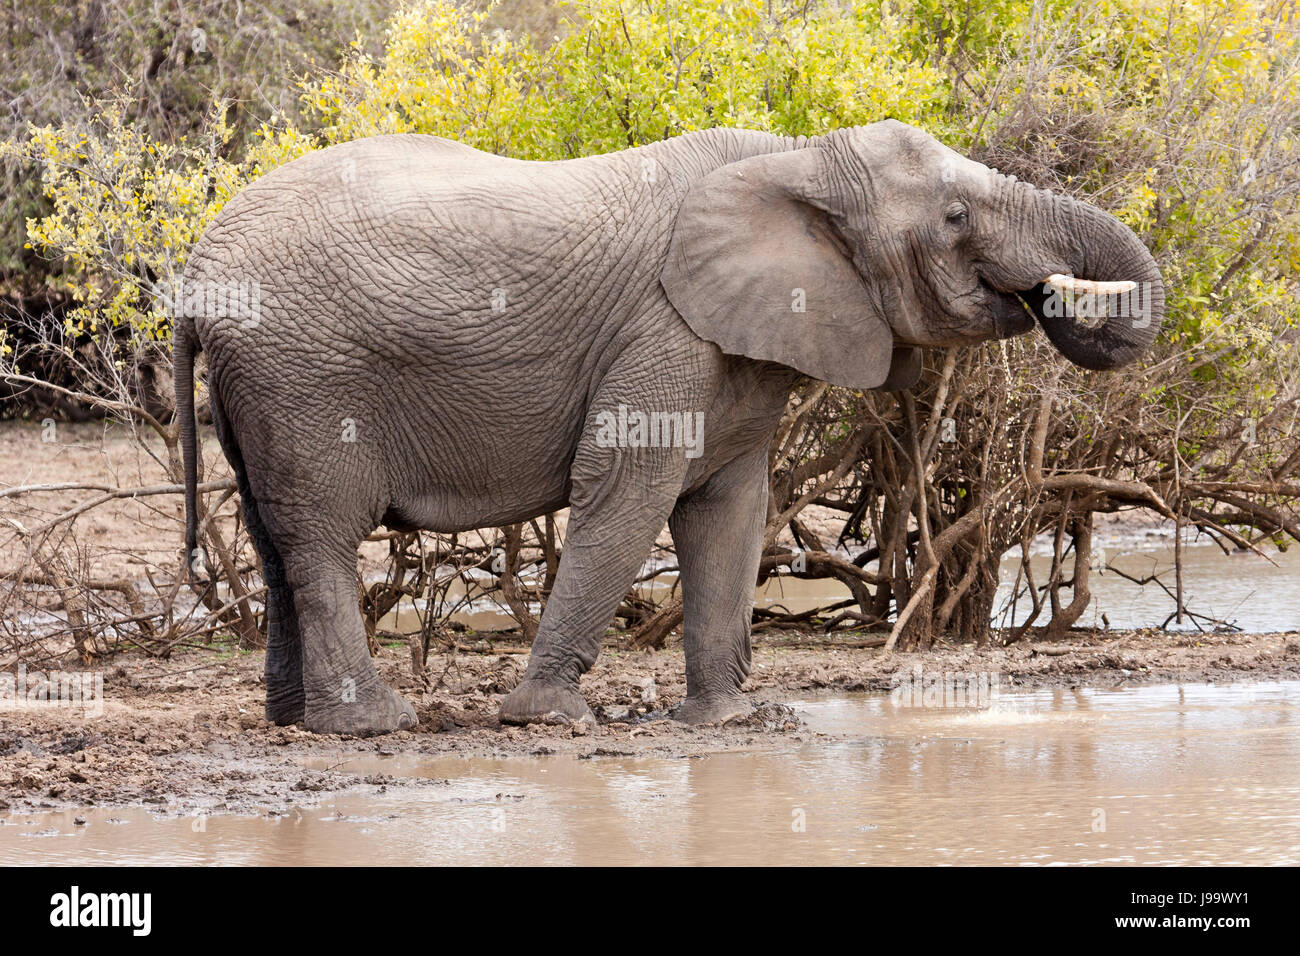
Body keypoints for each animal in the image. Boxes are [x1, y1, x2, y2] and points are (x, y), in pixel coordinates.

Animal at [174, 119, 1164, 735]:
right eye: (955, 217)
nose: (1047, 296)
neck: (799, 159)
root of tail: (193, 278)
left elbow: (730, 509)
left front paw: (724, 722)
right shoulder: (665, 329)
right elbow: (628, 491)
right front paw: (552, 719)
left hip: (262, 388)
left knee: (274, 539)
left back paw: (294, 721)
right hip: (304, 376)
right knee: (322, 537)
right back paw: (371, 725)